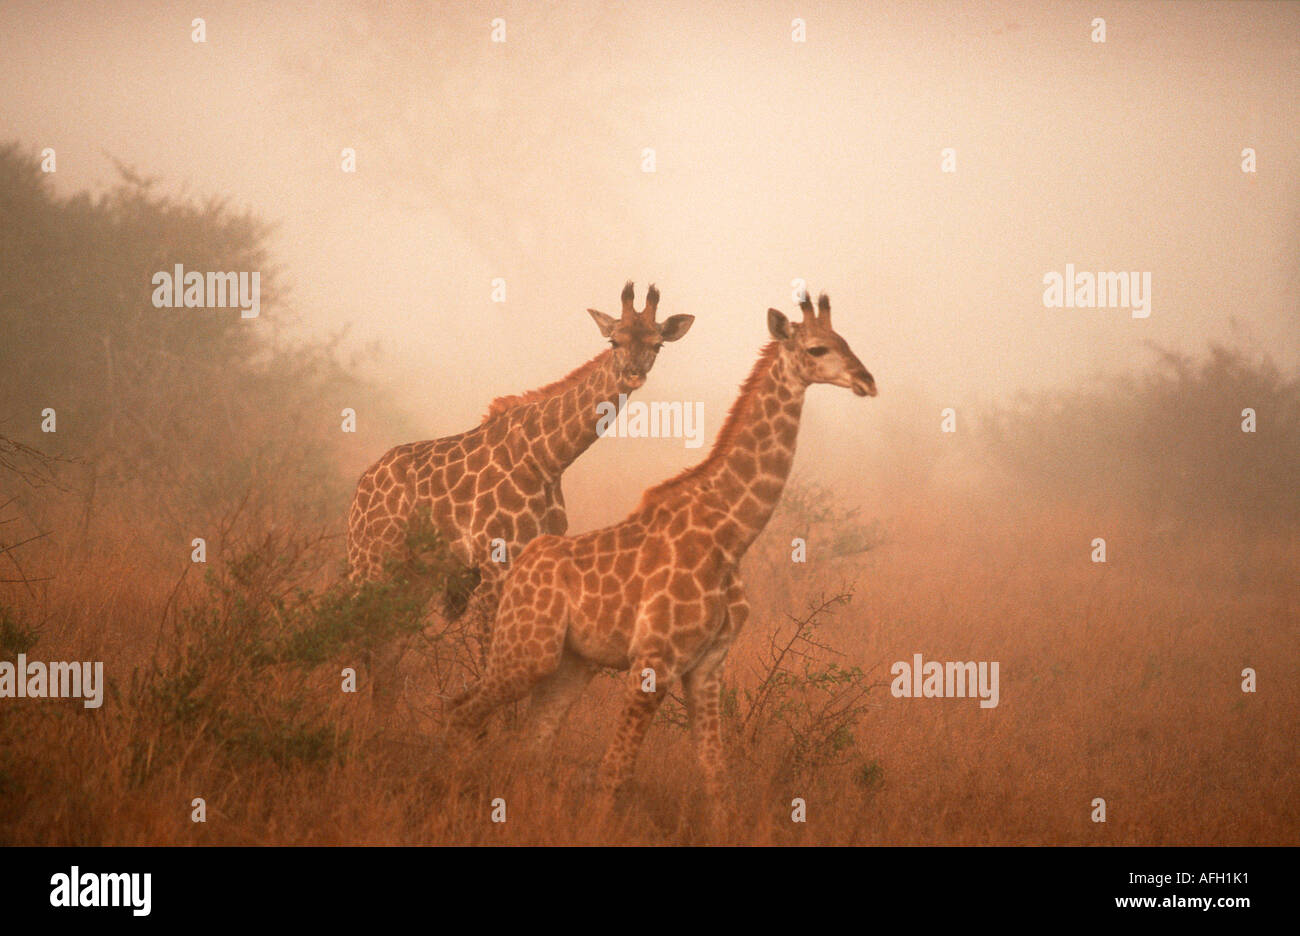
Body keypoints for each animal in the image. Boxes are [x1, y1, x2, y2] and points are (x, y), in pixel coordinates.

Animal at [347, 282, 694, 704]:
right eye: (614, 340)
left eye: (657, 345)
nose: (634, 373)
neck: (548, 460)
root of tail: (362, 486)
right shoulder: (493, 567)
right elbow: (491, 670)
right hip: (370, 563)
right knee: (361, 642)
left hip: (415, 575)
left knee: (386, 655)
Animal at [447, 290, 876, 804]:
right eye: (817, 349)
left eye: (846, 341)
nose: (867, 380)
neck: (730, 535)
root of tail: (521, 564)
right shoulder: (654, 661)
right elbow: (614, 774)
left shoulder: (707, 667)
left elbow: (717, 780)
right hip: (528, 650)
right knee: (463, 709)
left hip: (572, 663)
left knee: (528, 743)